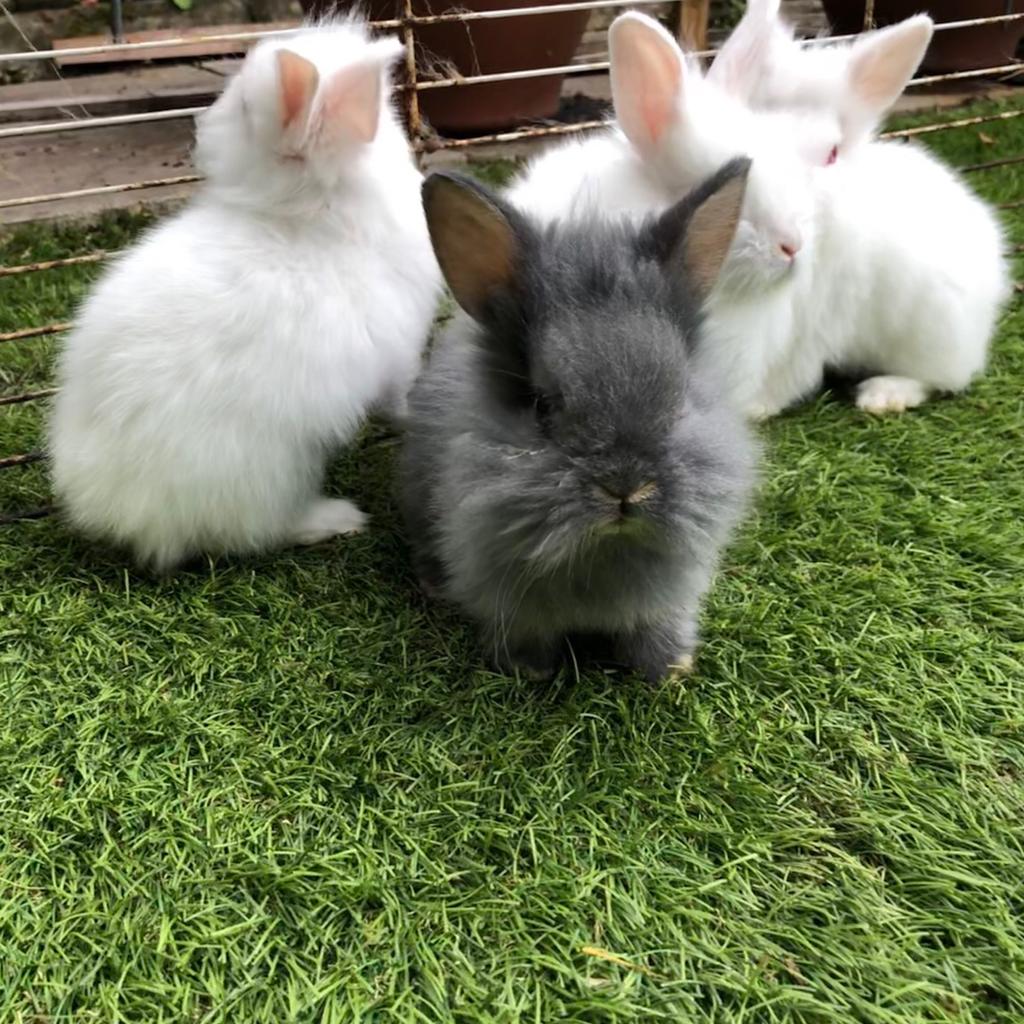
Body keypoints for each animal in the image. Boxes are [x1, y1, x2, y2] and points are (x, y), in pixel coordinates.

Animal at [49, 18, 442, 571]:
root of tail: (118, 511)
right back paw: (335, 519)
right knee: (255, 532)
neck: (315, 215)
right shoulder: (399, 350)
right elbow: (399, 394)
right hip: (269, 474)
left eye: (239, 109)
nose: (197, 125)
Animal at [399, 163, 756, 684]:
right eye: (543, 406)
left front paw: (669, 669)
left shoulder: (668, 600)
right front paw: (528, 671)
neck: (605, 551)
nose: (626, 489)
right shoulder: (510, 600)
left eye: (679, 396)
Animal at [509, 11, 1009, 418]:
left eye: (829, 153)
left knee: (942, 376)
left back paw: (883, 395)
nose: (792, 245)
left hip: (931, 331)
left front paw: (756, 410)